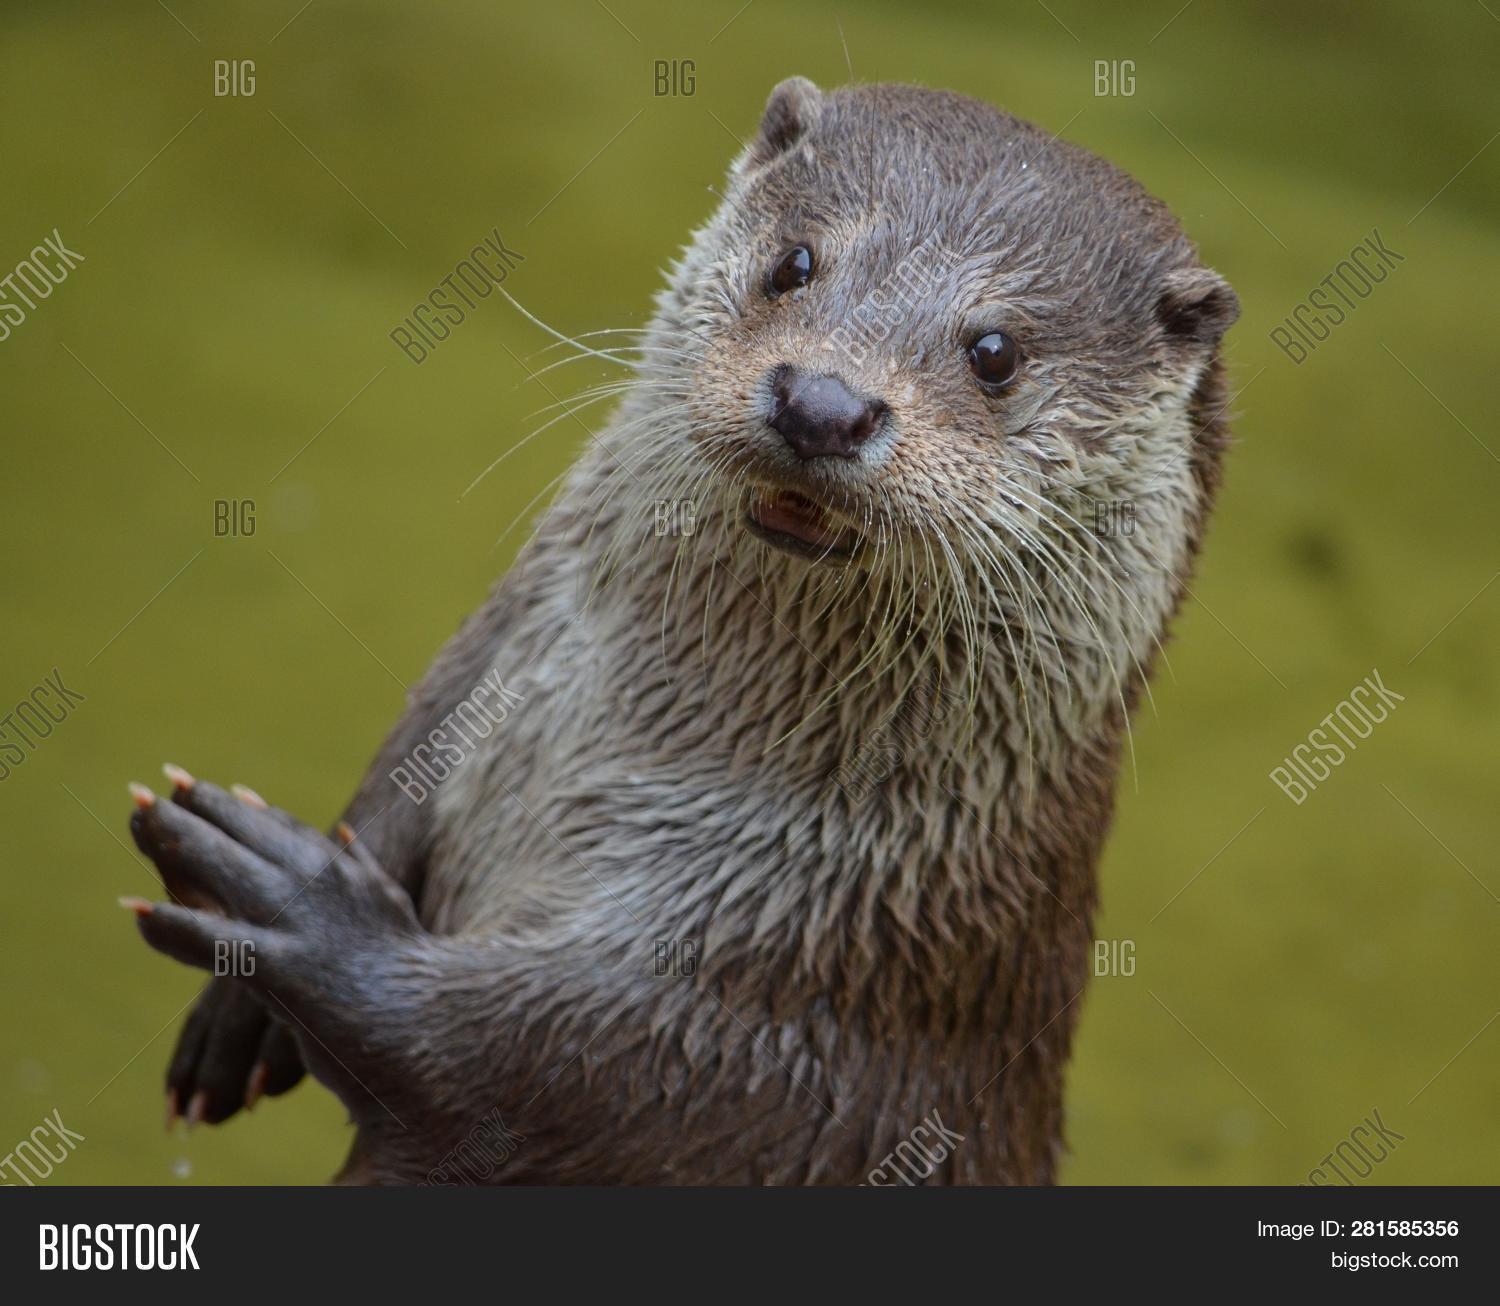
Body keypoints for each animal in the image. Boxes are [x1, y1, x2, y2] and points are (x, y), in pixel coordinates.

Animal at [123, 78, 1238, 1184]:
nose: (823, 400)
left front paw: (298, 910)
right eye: (795, 262)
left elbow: (533, 1070)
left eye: (996, 351)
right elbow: (405, 766)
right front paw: (237, 1011)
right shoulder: (484, 675)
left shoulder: (789, 1009)